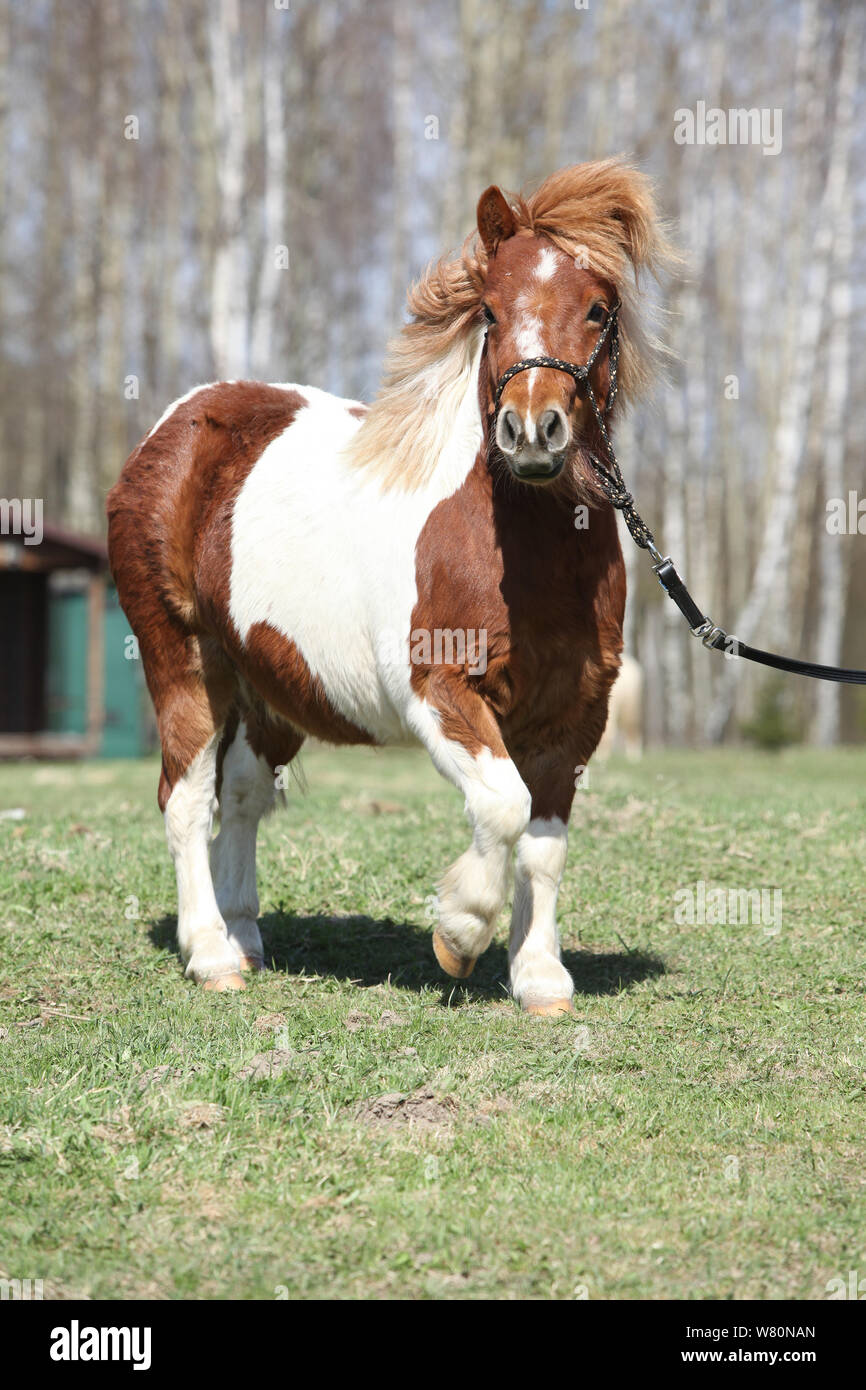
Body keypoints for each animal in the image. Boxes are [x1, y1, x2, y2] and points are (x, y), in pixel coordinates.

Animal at [107, 157, 673, 1015]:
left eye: (598, 309)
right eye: (491, 310)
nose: (531, 431)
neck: (521, 552)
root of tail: (175, 424)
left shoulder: (576, 715)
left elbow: (543, 841)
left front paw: (540, 976)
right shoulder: (440, 692)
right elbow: (503, 806)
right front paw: (460, 932)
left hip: (269, 687)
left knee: (240, 795)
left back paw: (245, 937)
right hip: (185, 661)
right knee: (186, 796)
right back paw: (210, 954)